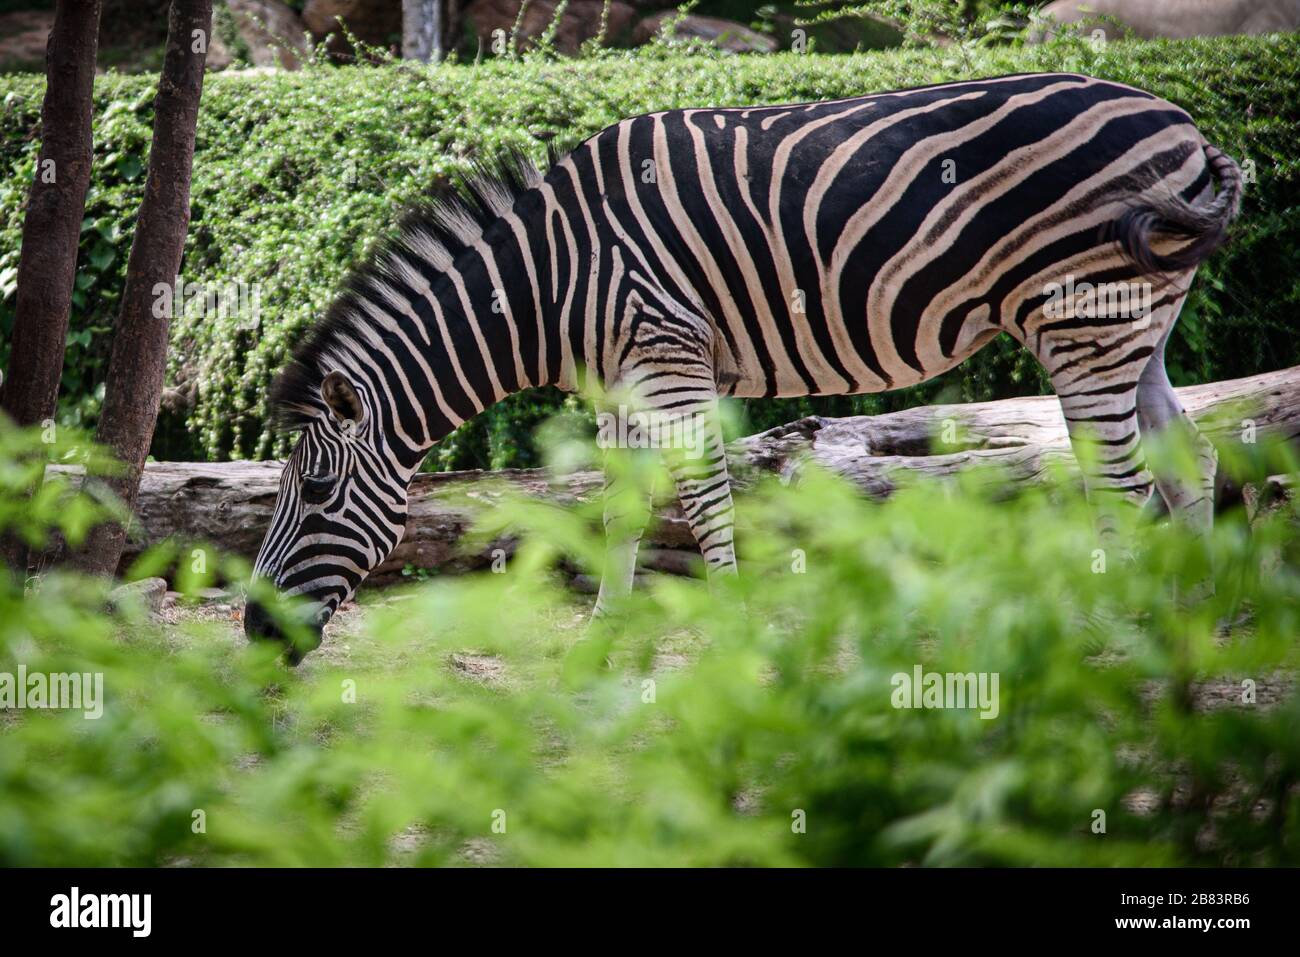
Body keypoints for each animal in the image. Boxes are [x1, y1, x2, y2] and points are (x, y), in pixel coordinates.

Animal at [244, 72, 1242, 660]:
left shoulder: (669, 357)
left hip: (1083, 321)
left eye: (319, 495)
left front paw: (730, 626)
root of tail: (1184, 124)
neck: (552, 279)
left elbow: (703, 497)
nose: (253, 631)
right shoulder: (622, 382)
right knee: (1190, 463)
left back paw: (1107, 632)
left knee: (1125, 489)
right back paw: (1189, 621)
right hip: (1133, 326)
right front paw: (603, 629)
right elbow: (617, 505)